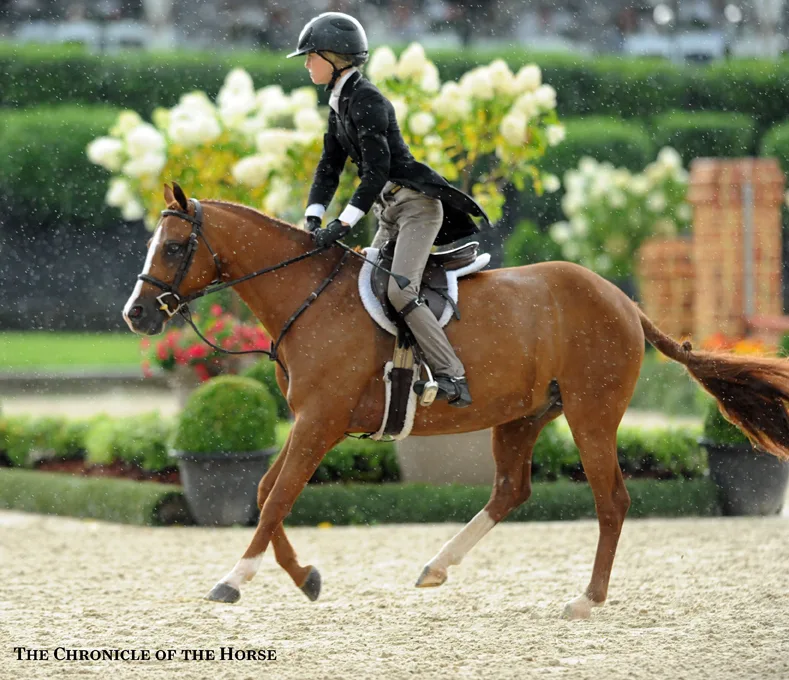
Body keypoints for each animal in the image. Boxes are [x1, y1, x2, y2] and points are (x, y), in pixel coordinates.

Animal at [123, 183, 789, 619]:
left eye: (175, 247)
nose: (135, 314)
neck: (308, 295)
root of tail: (623, 301)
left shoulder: (320, 422)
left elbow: (278, 496)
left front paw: (234, 578)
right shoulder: (309, 421)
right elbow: (267, 492)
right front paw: (305, 577)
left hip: (591, 416)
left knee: (612, 500)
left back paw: (587, 599)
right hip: (523, 417)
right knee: (512, 490)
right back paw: (437, 566)